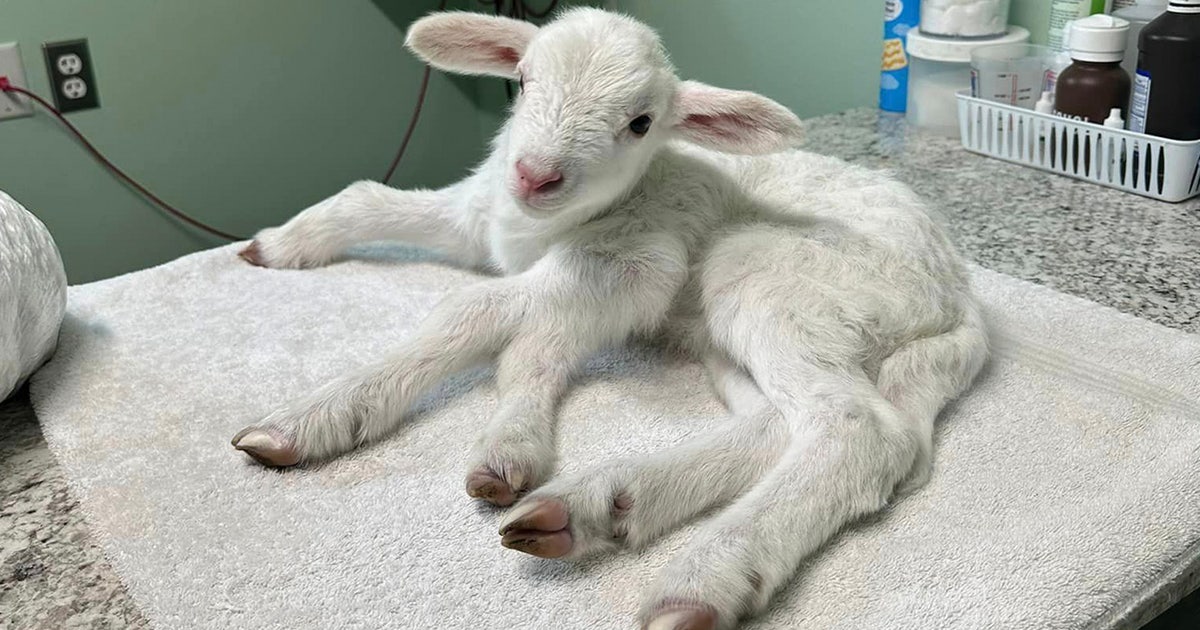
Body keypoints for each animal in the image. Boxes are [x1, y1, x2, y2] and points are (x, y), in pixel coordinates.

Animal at [231, 8, 988, 629]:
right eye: (523, 81)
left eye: (640, 123)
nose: (534, 175)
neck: (545, 227)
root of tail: (961, 302)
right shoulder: (490, 224)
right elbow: (369, 200)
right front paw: (281, 245)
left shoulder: (632, 262)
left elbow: (474, 307)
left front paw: (315, 415)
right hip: (734, 329)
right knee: (777, 423)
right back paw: (602, 504)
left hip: (771, 277)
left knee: (856, 428)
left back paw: (706, 573)